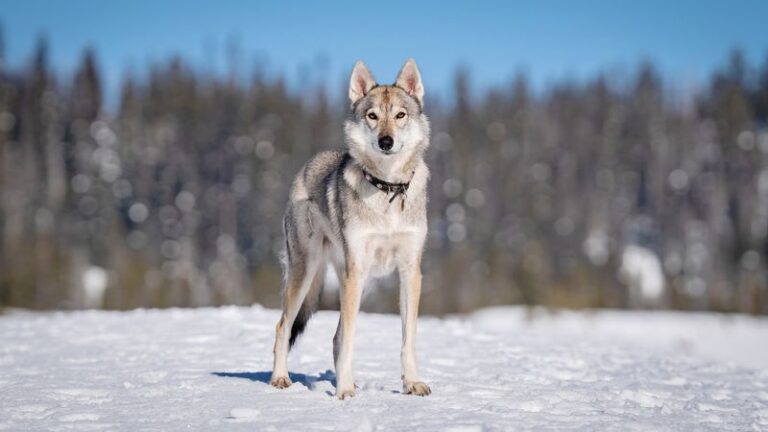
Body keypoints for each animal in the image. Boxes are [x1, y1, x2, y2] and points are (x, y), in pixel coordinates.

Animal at [269, 59, 432, 399]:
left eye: (400, 115)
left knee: (334, 336)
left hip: (359, 280)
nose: (386, 142)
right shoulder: (354, 273)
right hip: (309, 273)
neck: (387, 190)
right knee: (283, 327)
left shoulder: (410, 271)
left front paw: (412, 383)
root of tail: (307, 165)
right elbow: (349, 340)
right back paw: (280, 379)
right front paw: (343, 390)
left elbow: (407, 339)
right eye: (372, 116)